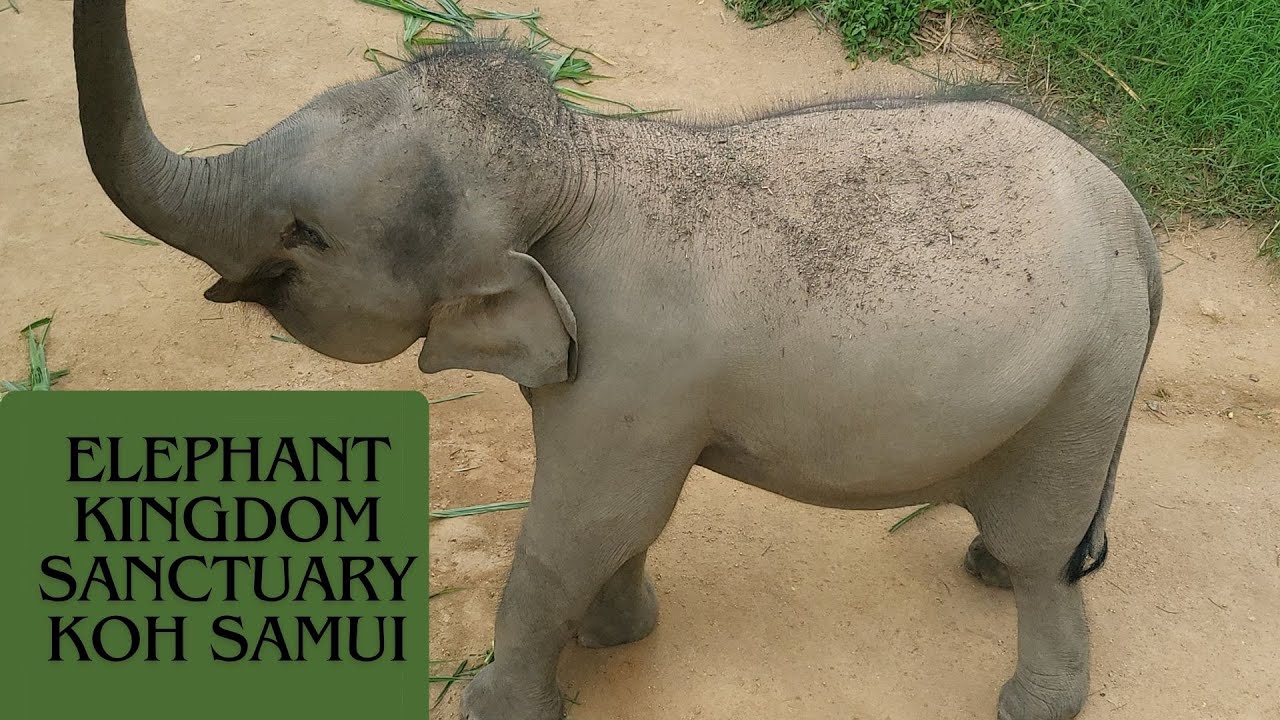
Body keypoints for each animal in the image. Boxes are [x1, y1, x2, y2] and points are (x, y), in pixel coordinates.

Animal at [72, 2, 1162, 719]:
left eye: (307, 234)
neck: (580, 162)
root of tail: (1133, 216)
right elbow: (630, 520)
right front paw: (612, 638)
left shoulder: (633, 369)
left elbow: (581, 526)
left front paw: (494, 705)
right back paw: (987, 568)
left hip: (1079, 383)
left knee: (1042, 557)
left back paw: (1027, 692)